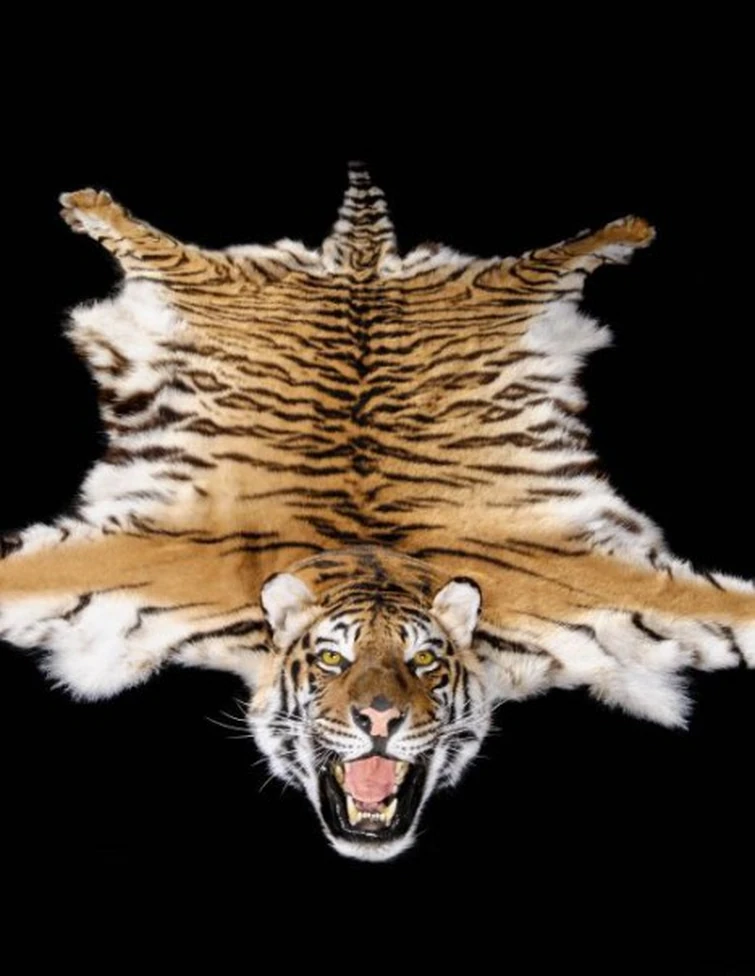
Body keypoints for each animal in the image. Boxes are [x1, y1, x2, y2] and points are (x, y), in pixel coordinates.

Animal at [0, 164, 752, 862]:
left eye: (425, 663)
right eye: (332, 659)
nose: (380, 722)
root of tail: (362, 266)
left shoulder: (596, 588)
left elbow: (727, 606)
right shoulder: (146, 563)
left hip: (497, 290)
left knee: (555, 257)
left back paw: (628, 228)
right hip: (228, 281)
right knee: (166, 249)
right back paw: (88, 203)